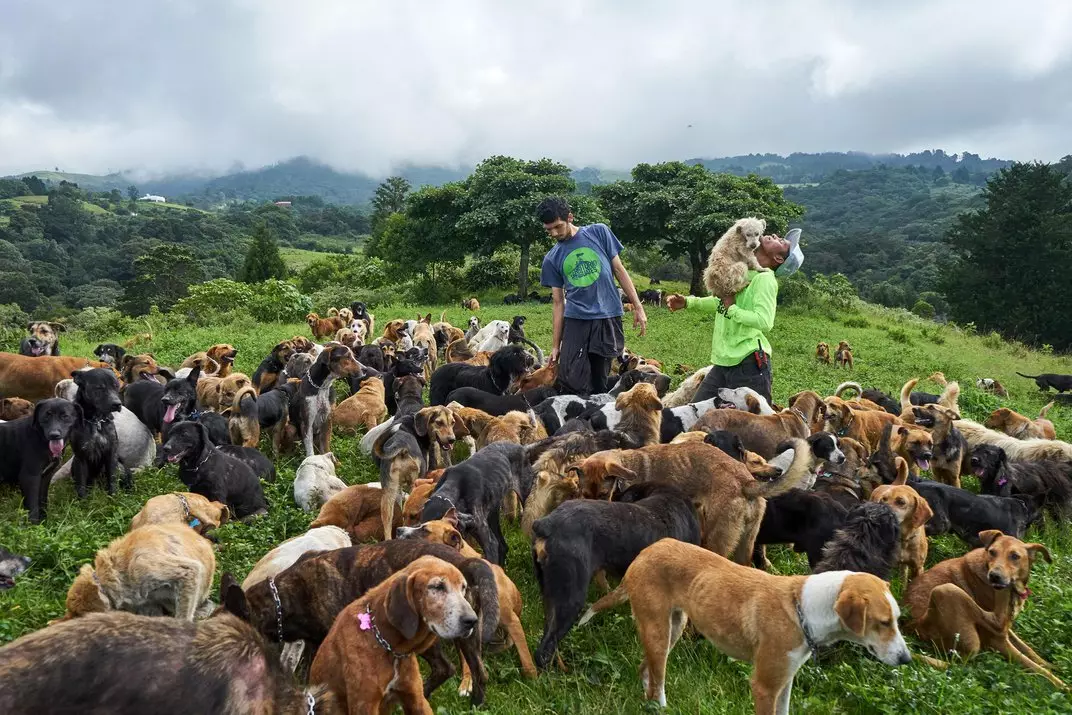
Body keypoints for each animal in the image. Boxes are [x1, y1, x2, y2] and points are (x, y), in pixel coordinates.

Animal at [69, 368, 125, 497]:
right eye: (99, 387)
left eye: (116, 386)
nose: (117, 404)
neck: (96, 421)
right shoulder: (80, 457)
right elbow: (81, 482)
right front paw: (82, 499)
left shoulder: (111, 453)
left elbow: (112, 478)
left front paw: (113, 496)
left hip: (120, 466)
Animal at [308, 557, 480, 715]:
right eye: (437, 586)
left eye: (463, 588)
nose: (472, 620)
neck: (389, 646)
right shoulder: (364, 705)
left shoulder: (416, 699)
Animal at [583, 540, 909, 711]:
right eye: (883, 623)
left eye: (897, 620)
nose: (906, 659)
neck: (803, 608)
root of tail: (647, 550)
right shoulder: (764, 686)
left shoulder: (785, 681)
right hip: (659, 632)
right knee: (657, 681)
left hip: (671, 629)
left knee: (647, 670)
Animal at [904, 533, 1063, 690]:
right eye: (992, 552)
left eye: (1015, 556)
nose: (994, 576)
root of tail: (910, 628)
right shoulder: (997, 640)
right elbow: (1034, 666)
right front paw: (1061, 685)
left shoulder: (1007, 632)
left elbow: (1029, 650)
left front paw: (1052, 665)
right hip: (947, 590)